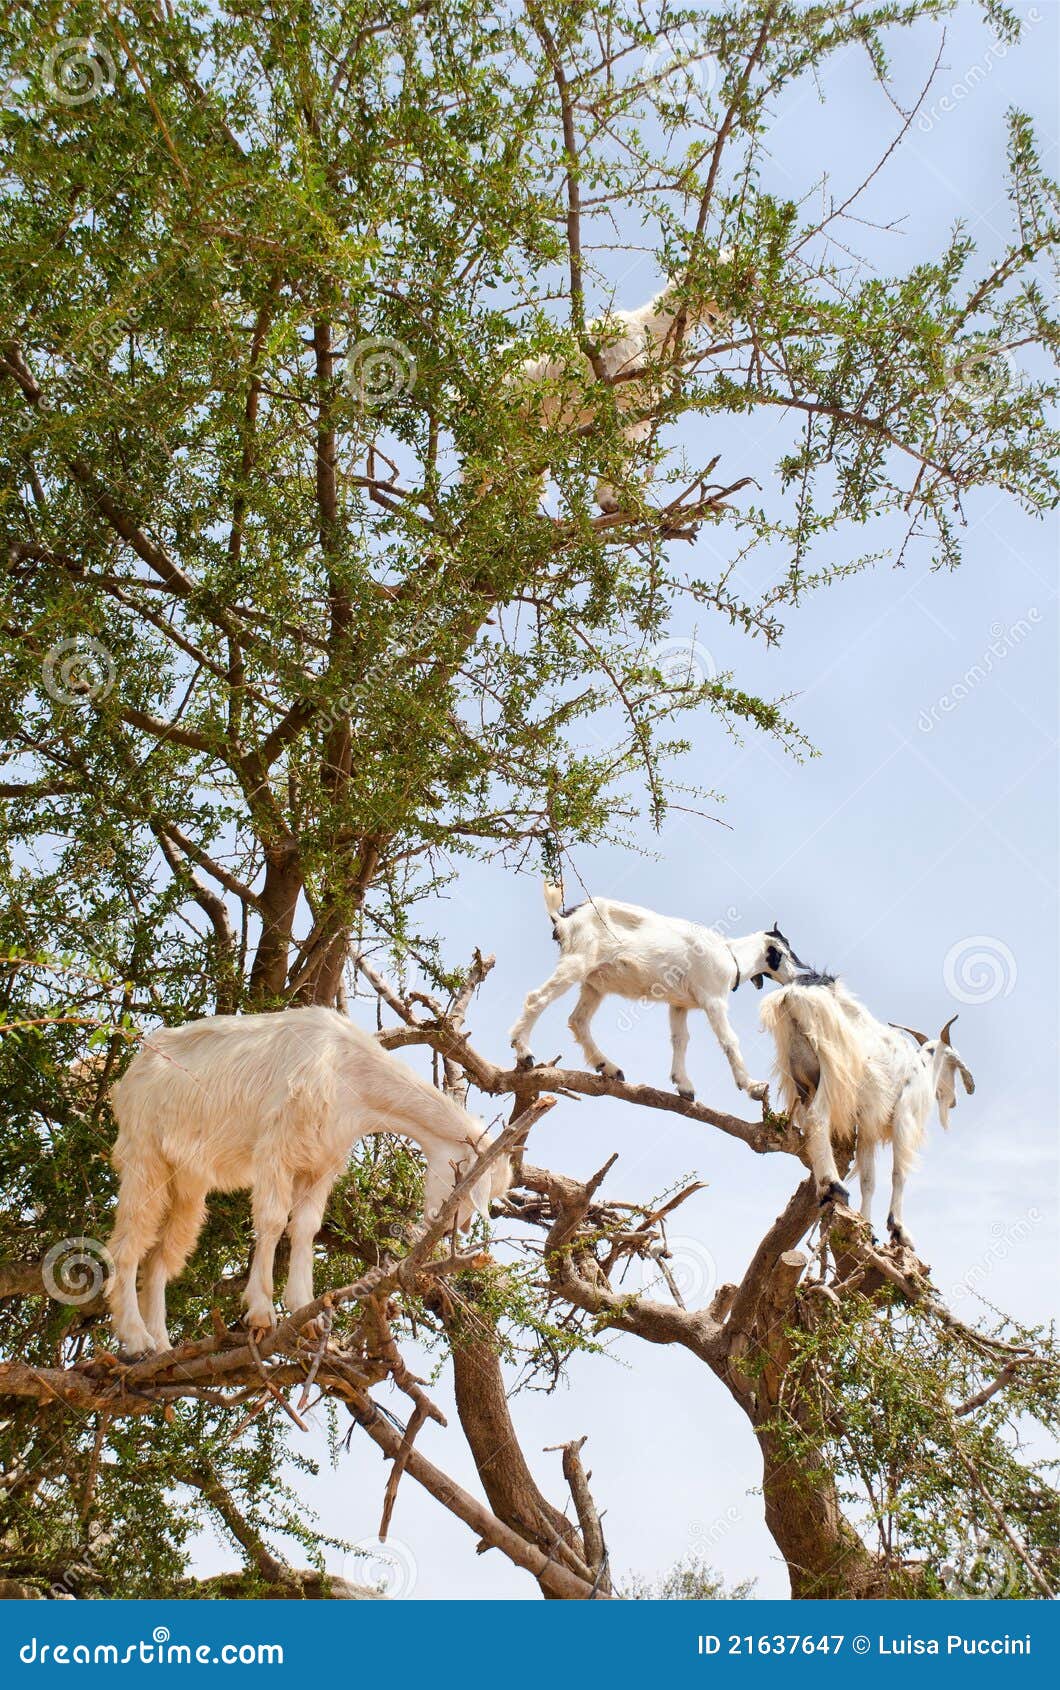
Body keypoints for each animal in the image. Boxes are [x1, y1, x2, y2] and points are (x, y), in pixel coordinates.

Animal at [104, 1006, 511, 1358]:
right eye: (464, 1182)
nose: (453, 1228)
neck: (346, 1069)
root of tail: (130, 1077)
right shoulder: (276, 1150)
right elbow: (272, 1221)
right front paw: (261, 1312)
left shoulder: (321, 1164)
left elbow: (305, 1227)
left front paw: (305, 1312)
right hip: (144, 1156)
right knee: (127, 1244)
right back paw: (136, 1338)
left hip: (187, 1179)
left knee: (160, 1257)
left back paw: (161, 1345)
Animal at [509, 881, 807, 1103]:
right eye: (786, 953)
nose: (800, 976)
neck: (730, 954)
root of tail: (565, 919)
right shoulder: (713, 999)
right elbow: (729, 1040)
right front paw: (752, 1086)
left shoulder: (679, 1004)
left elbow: (680, 1039)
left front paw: (683, 1085)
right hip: (576, 962)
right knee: (538, 998)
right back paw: (524, 1052)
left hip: (594, 982)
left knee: (578, 1020)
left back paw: (609, 1067)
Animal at [760, 975, 975, 1246]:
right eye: (953, 1066)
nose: (954, 1100)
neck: (922, 1068)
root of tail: (792, 996)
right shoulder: (903, 1116)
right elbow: (898, 1173)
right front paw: (898, 1228)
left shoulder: (867, 1125)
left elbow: (868, 1180)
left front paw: (867, 1227)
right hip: (833, 1071)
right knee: (817, 1117)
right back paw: (834, 1186)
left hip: (800, 1078)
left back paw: (823, 1187)